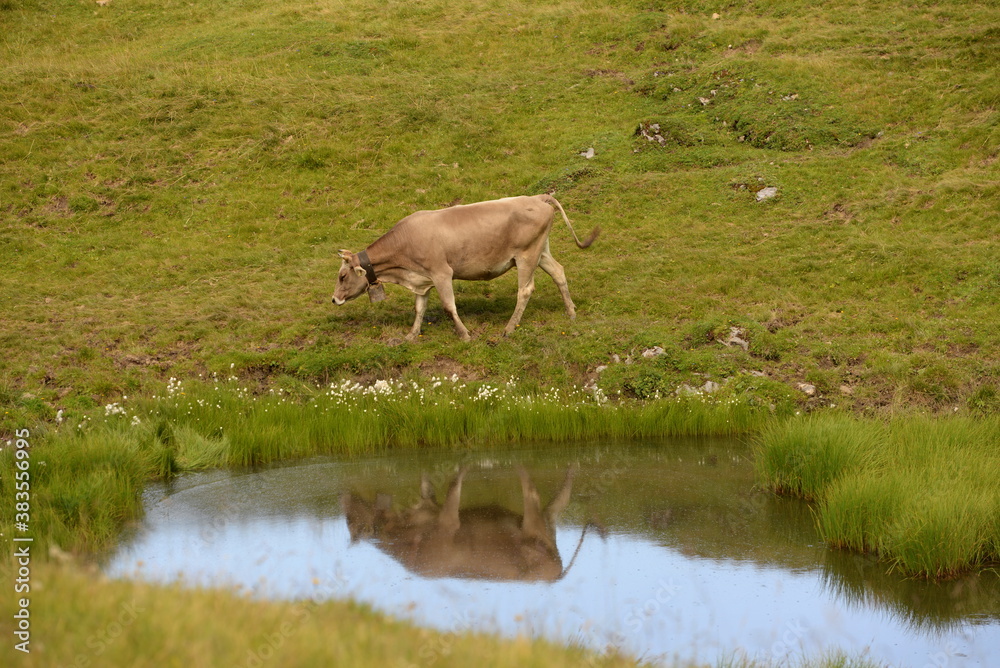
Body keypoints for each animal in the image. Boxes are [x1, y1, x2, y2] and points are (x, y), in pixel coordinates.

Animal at [331, 195, 598, 341]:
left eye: (342, 276)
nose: (334, 299)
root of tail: (537, 197)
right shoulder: (423, 279)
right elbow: (419, 309)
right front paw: (411, 335)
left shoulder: (441, 273)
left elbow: (449, 306)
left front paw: (464, 334)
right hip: (541, 251)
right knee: (558, 272)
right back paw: (571, 312)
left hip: (526, 254)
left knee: (525, 290)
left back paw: (509, 328)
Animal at [341, 465, 580, 582]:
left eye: (351, 519)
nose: (344, 496)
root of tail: (555, 576)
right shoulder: (428, 502)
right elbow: (428, 483)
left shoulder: (449, 521)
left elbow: (453, 483)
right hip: (546, 523)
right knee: (557, 501)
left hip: (533, 525)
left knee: (531, 490)